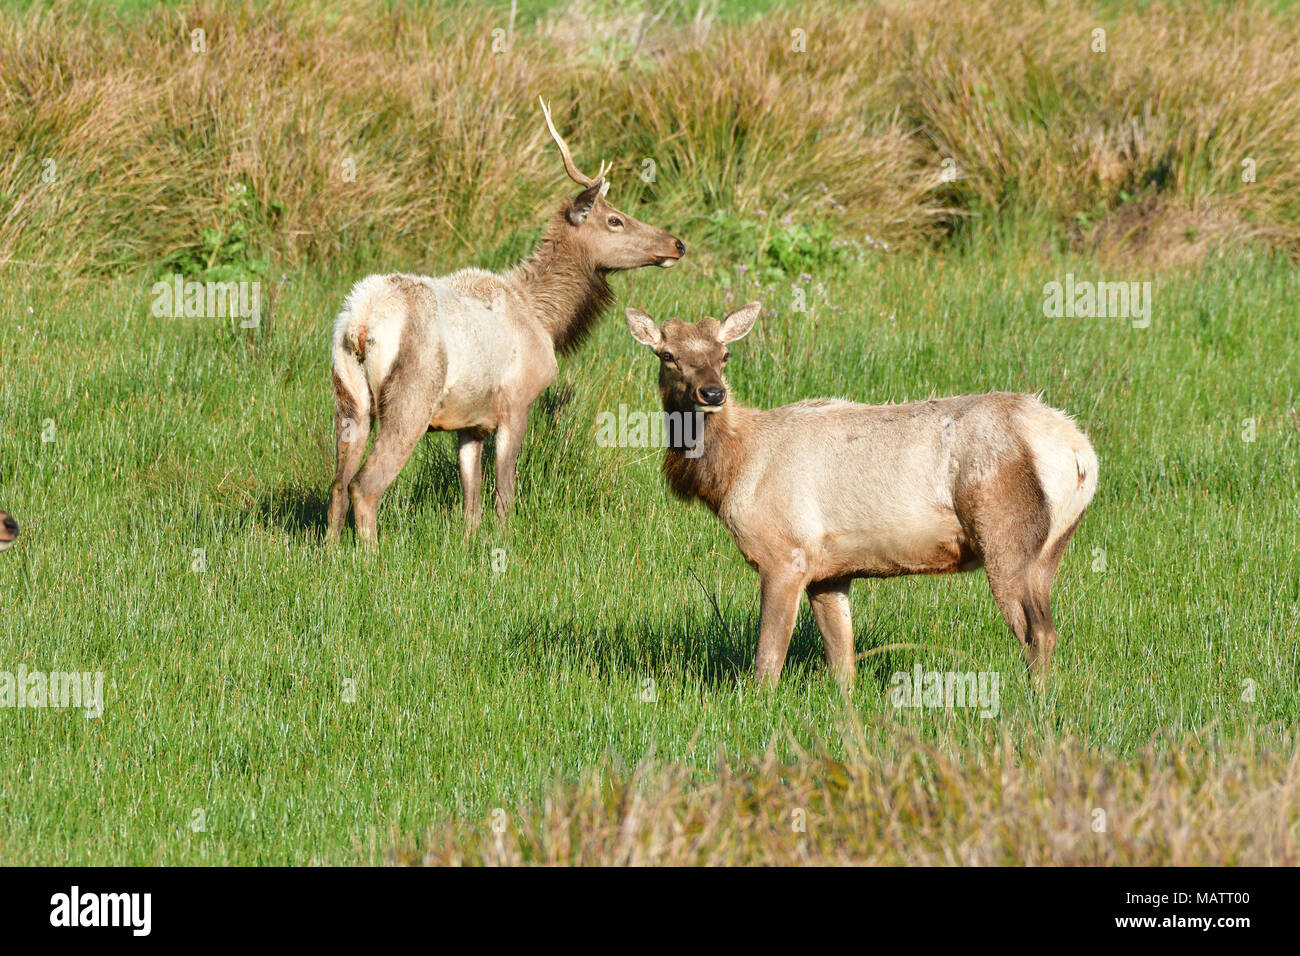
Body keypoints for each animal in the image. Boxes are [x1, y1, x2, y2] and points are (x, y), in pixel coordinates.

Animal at [326, 100, 685, 544]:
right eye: (615, 219)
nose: (676, 243)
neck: (544, 318)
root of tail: (359, 325)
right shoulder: (517, 402)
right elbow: (504, 493)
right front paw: (505, 543)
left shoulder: (470, 423)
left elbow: (471, 502)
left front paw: (469, 543)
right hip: (411, 398)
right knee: (364, 486)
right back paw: (371, 555)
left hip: (349, 397)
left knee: (337, 486)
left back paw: (331, 550)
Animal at [625, 303, 1098, 689]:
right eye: (667, 355)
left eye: (725, 355)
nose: (712, 393)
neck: (733, 472)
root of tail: (1081, 454)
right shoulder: (828, 569)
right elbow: (842, 660)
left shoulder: (786, 554)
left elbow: (768, 659)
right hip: (1051, 548)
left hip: (1005, 533)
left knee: (1037, 633)